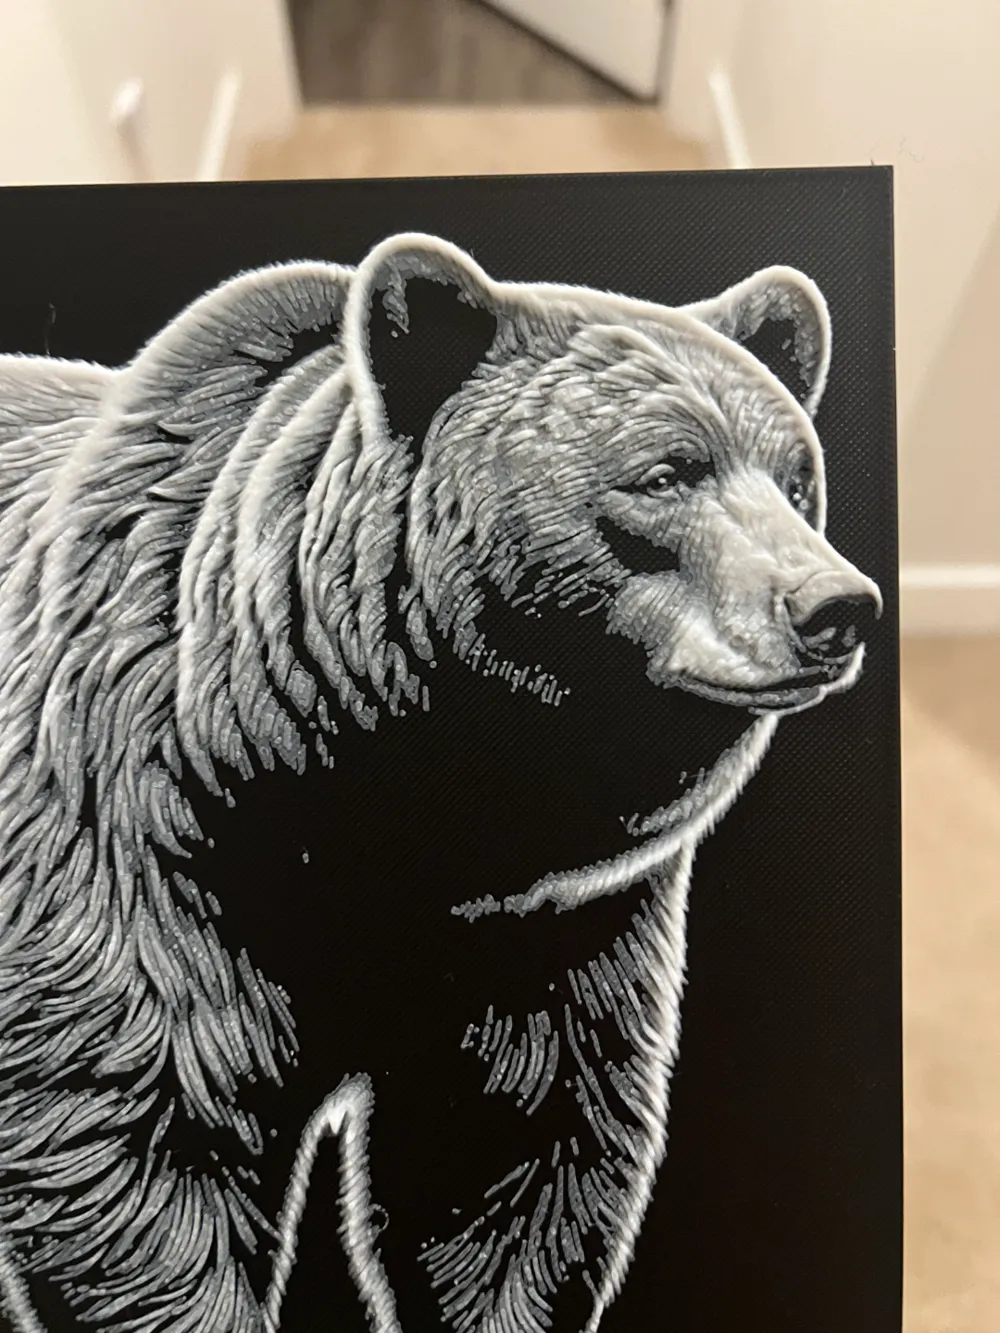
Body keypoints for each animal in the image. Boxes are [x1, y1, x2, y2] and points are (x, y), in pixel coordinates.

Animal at [0, 232, 881, 1333]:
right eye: (665, 471)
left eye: (796, 479)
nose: (834, 605)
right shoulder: (143, 842)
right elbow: (140, 1141)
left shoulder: (550, 930)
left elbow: (512, 1166)